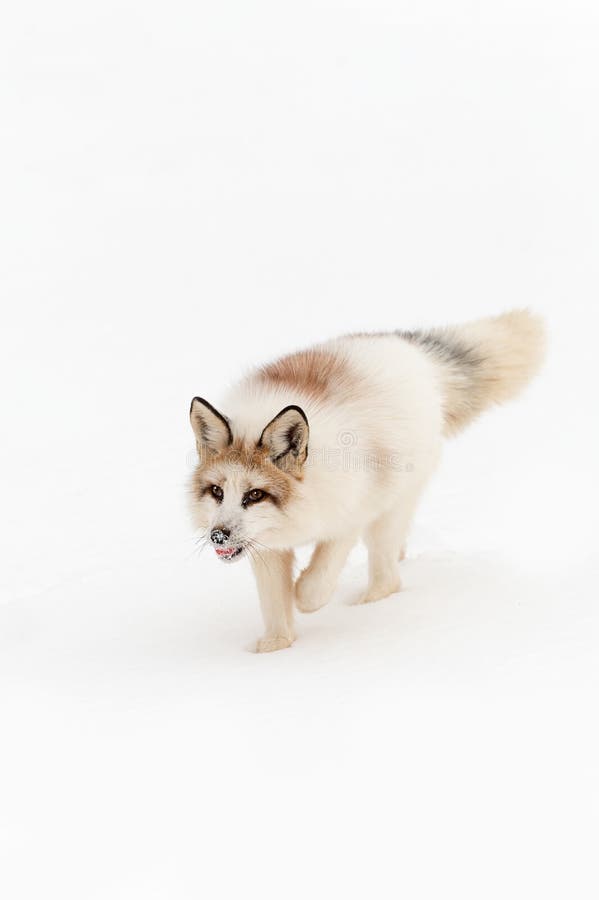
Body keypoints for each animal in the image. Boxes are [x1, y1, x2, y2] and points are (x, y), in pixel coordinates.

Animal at [189, 310, 546, 652]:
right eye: (217, 491)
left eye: (254, 495)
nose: (218, 536)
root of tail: (413, 351)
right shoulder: (267, 546)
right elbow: (274, 605)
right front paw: (274, 648)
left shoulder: (350, 515)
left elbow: (314, 585)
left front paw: (304, 597)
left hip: (386, 511)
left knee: (389, 579)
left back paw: (366, 606)